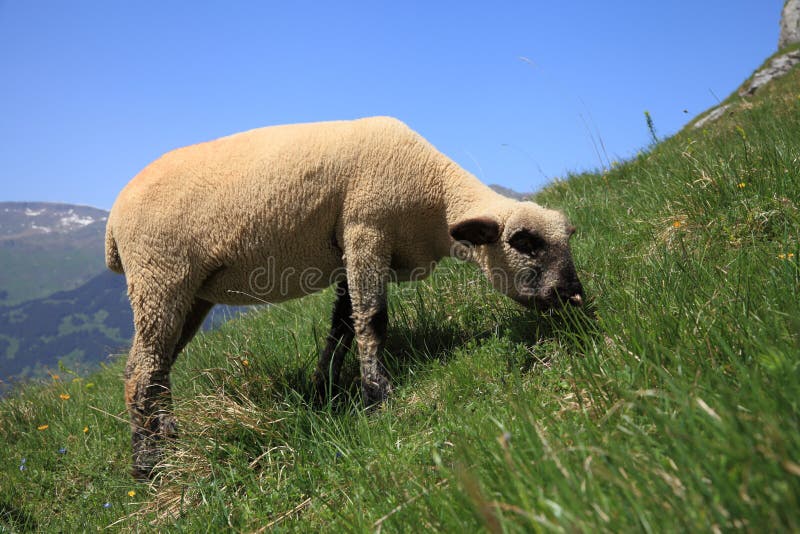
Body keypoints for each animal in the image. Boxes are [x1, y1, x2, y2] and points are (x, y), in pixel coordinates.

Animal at [105, 116, 584, 479]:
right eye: (524, 242)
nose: (575, 298)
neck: (434, 199)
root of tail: (113, 222)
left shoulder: (347, 254)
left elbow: (342, 326)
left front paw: (325, 389)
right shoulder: (366, 228)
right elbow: (372, 318)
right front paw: (379, 396)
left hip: (188, 292)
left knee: (154, 365)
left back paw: (167, 437)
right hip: (159, 276)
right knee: (141, 370)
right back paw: (148, 465)